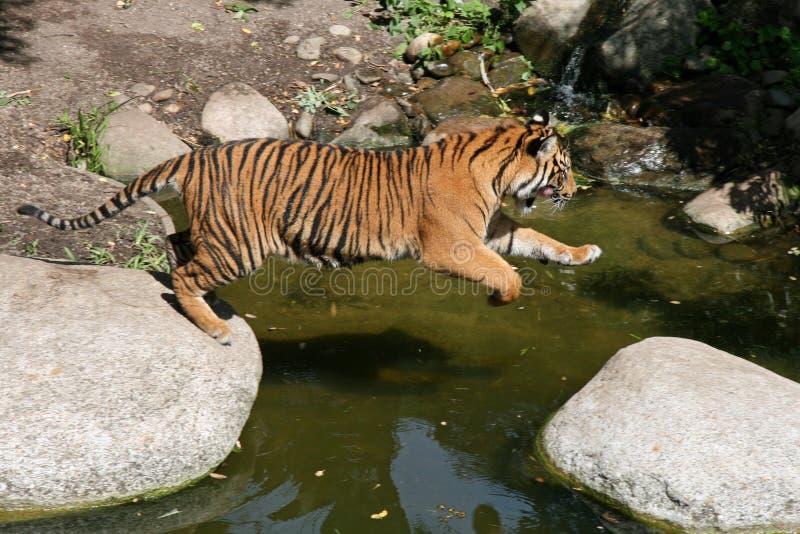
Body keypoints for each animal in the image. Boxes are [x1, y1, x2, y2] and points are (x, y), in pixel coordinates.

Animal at [17, 110, 601, 345]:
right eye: (565, 168)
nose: (576, 192)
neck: (497, 171)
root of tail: (195, 155)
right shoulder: (453, 246)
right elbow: (509, 272)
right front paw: (501, 300)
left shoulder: (493, 229)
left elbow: (538, 243)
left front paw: (583, 252)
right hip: (241, 245)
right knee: (185, 274)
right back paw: (214, 327)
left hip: (217, 235)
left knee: (174, 241)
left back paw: (197, 293)